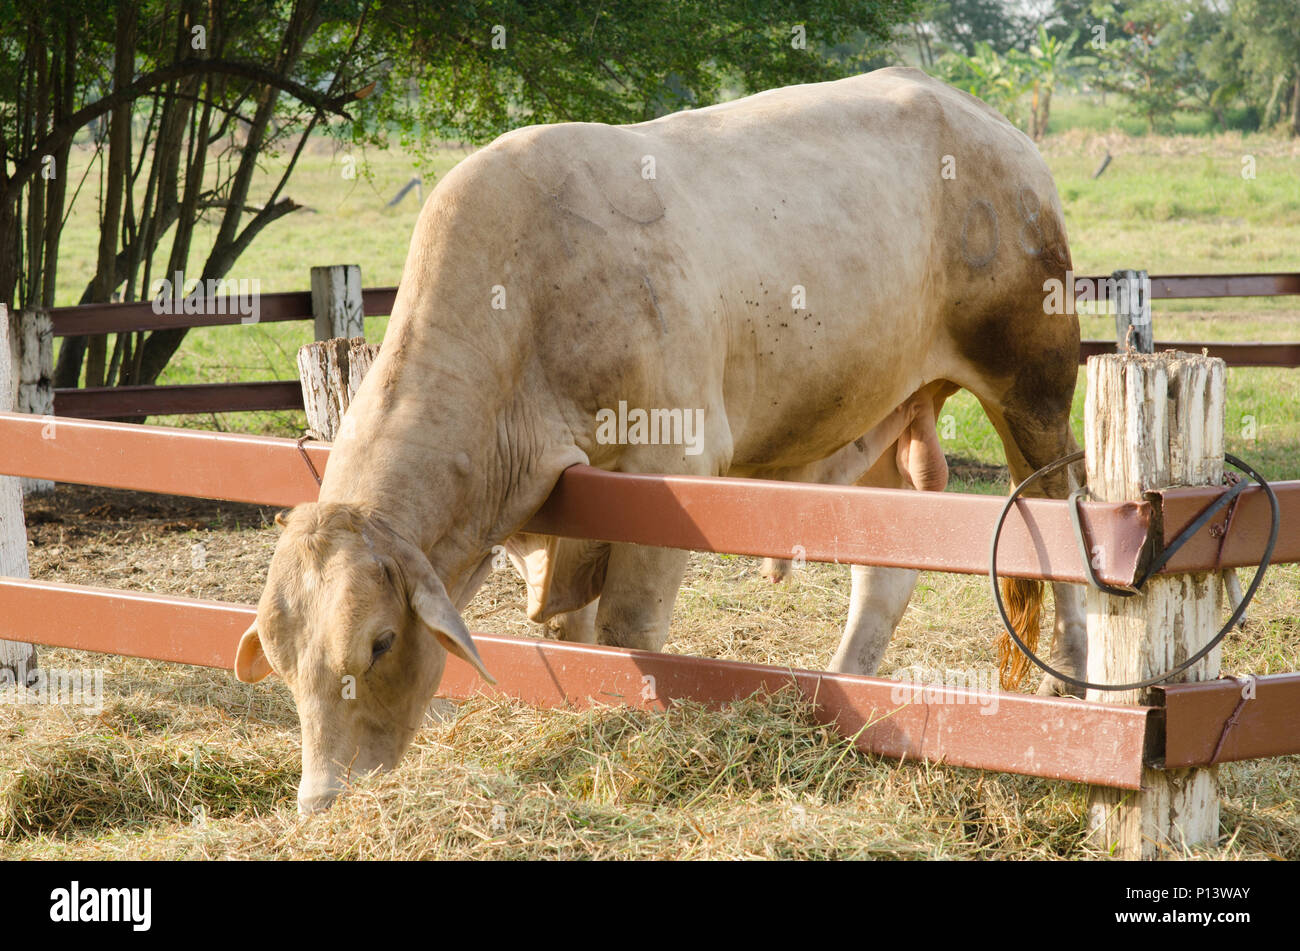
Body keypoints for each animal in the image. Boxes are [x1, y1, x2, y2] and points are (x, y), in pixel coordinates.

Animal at [235, 67, 1085, 813]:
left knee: (1061, 517)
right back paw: (851, 700)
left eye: (379, 643)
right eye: (281, 656)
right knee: (886, 569)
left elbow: (628, 629)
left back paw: (1069, 681)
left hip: (1033, 382)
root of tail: (997, 129)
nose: (321, 798)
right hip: (878, 409)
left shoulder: (674, 460)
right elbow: (569, 632)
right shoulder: (558, 520)